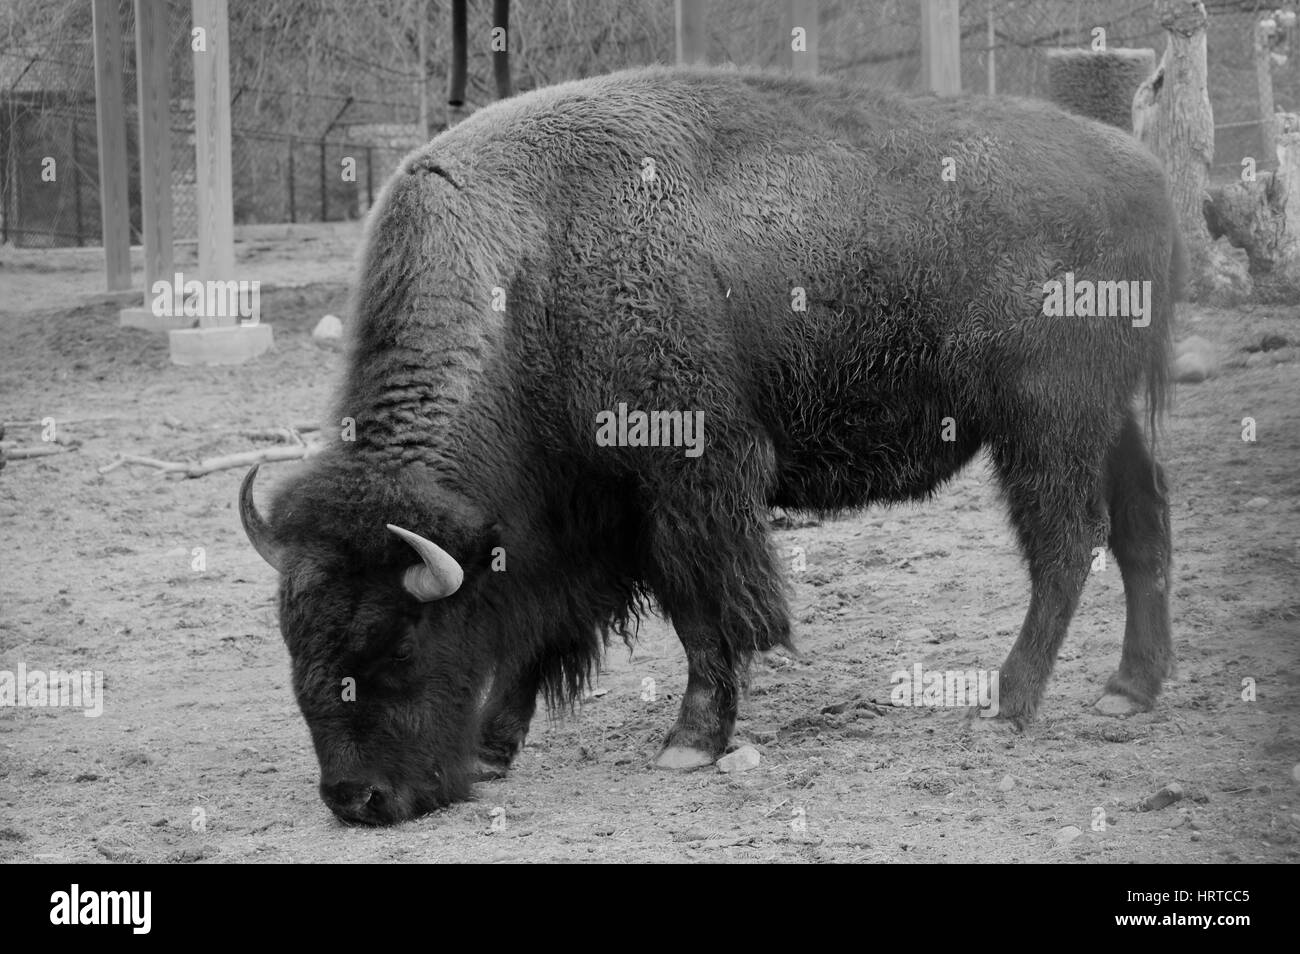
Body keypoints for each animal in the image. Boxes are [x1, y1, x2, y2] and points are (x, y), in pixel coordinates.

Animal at [240, 66, 1181, 825]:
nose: (358, 800)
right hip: (1109, 417)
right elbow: (551, 625)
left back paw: (1010, 704)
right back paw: (1128, 692)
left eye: (397, 643)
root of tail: (1144, 172)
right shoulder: (593, 505)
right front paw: (492, 747)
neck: (529, 271)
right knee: (1143, 530)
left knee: (1067, 543)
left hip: (1045, 423)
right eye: (293, 641)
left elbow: (701, 613)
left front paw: (689, 743)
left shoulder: (686, 481)